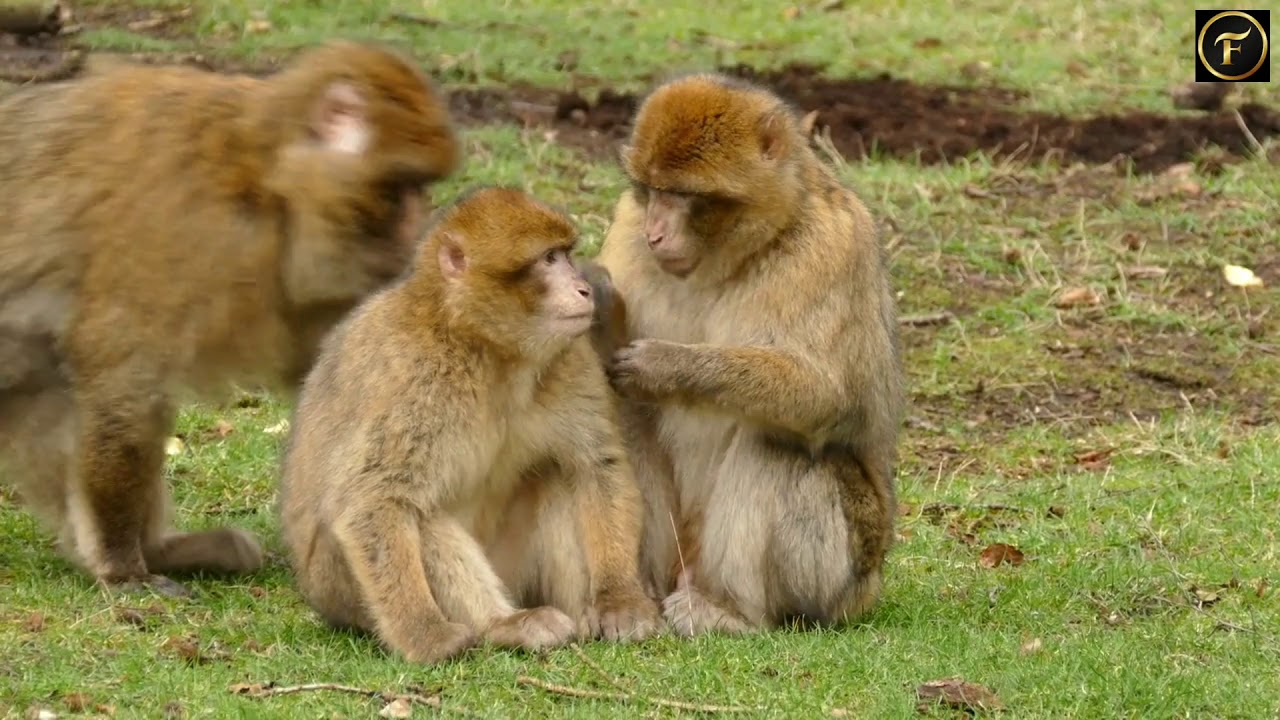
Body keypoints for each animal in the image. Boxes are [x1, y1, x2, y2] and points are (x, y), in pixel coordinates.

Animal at [0, 40, 461, 597]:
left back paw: (164, 550)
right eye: (407, 187)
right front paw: (120, 563)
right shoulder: (176, 226)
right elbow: (124, 386)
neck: (261, 177)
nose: (422, 228)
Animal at [277, 187, 662, 665]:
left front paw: (618, 600)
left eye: (565, 255)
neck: (485, 349)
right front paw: (423, 633)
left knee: (558, 475)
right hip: (342, 590)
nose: (584, 288)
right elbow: (373, 500)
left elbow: (595, 463)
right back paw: (505, 624)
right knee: (420, 515)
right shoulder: (411, 378)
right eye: (548, 259)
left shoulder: (569, 360)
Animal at [595, 73, 904, 636]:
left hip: (846, 575)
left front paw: (666, 366)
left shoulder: (827, 246)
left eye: (684, 194)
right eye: (652, 190)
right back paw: (632, 595)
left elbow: (825, 396)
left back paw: (735, 613)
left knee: (778, 442)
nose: (656, 233)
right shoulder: (627, 224)